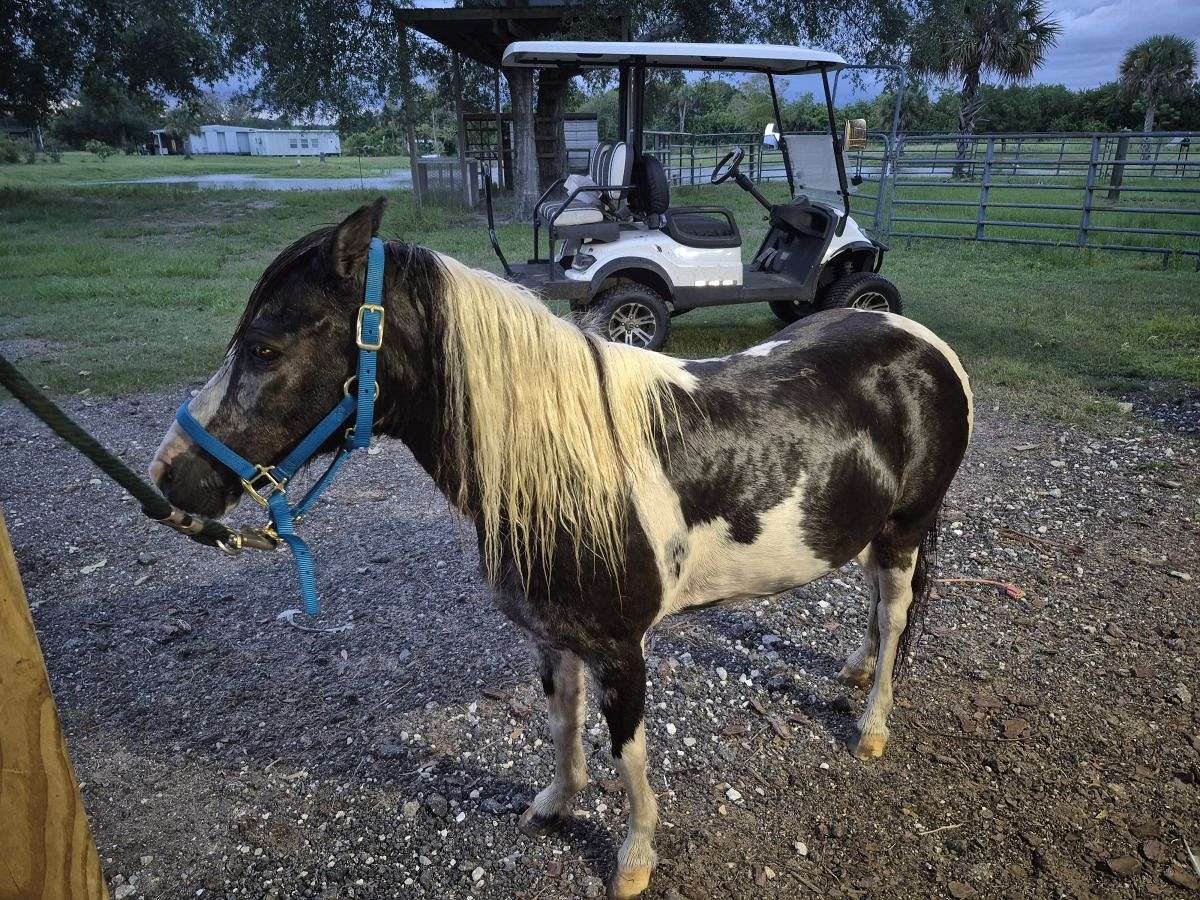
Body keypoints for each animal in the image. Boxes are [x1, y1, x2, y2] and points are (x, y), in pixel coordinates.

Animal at [151, 199, 972, 898]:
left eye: (267, 346)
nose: (170, 477)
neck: (573, 466)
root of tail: (924, 346)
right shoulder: (553, 634)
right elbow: (561, 721)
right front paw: (555, 803)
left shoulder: (621, 649)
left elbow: (628, 751)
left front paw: (634, 859)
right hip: (871, 531)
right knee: (875, 605)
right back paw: (856, 668)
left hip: (907, 528)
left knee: (898, 614)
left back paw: (872, 725)